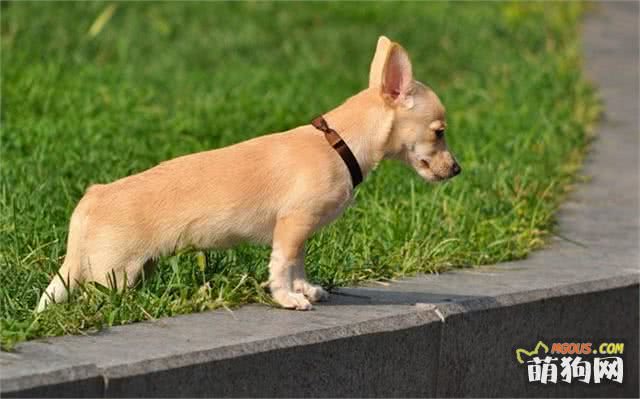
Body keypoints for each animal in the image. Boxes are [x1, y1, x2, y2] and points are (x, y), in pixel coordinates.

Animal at [37, 36, 460, 312]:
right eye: (439, 132)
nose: (456, 169)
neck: (339, 144)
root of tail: (91, 199)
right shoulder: (293, 223)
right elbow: (282, 265)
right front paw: (288, 298)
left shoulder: (299, 230)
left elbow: (298, 262)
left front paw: (306, 289)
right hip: (113, 274)